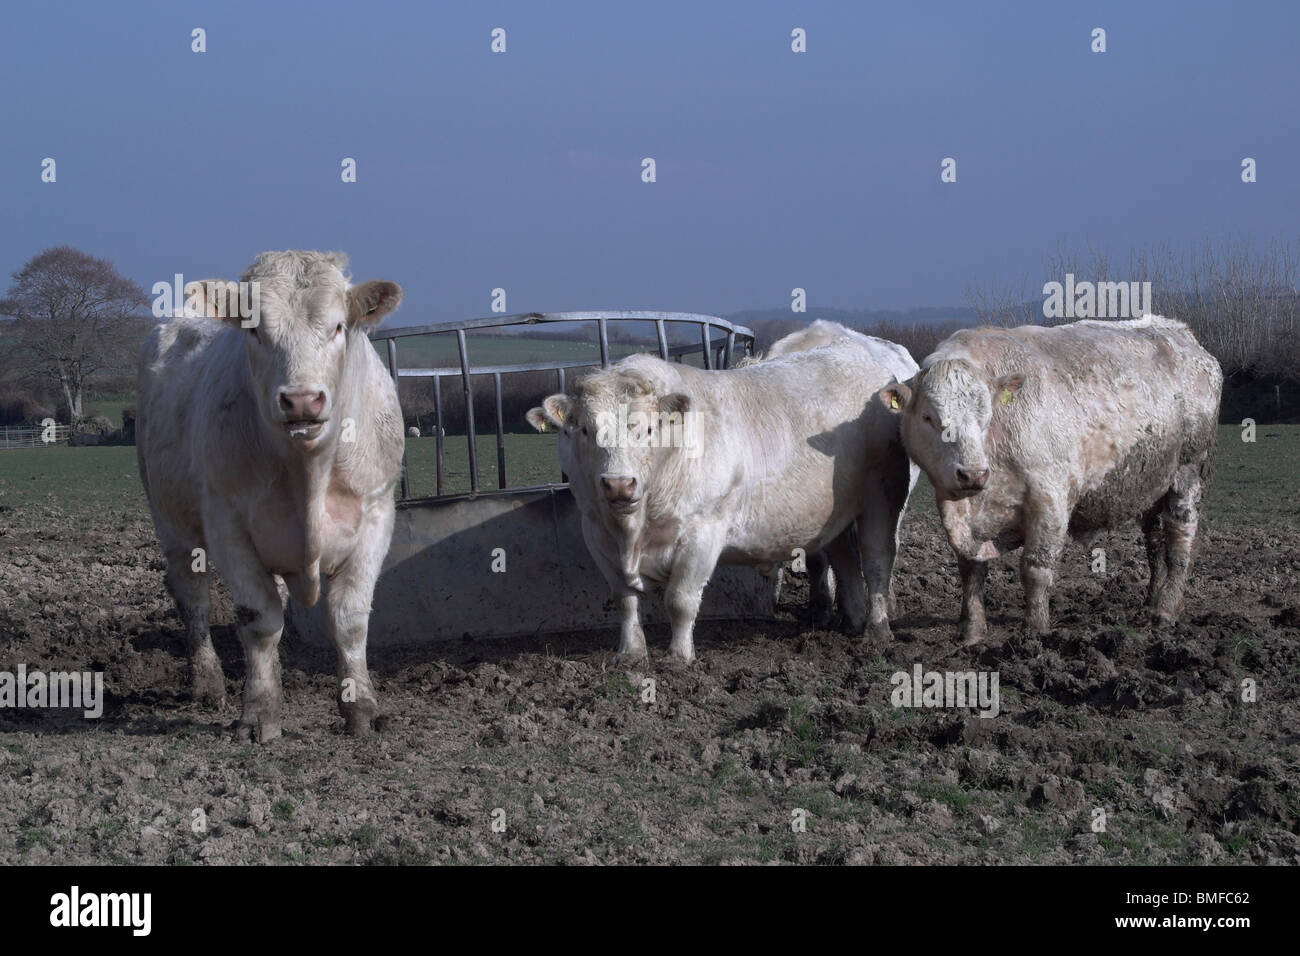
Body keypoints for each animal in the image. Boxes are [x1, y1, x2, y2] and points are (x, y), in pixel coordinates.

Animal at [137, 250, 405, 740]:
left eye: (338, 326)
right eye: (255, 330)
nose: (301, 401)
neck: (308, 471)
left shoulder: (376, 514)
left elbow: (350, 619)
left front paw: (362, 708)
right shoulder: (228, 525)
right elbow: (259, 621)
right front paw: (259, 712)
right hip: (172, 522)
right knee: (192, 596)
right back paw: (207, 683)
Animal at [526, 343, 914, 661]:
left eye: (648, 429)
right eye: (585, 430)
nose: (619, 484)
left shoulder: (702, 532)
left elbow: (680, 600)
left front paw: (679, 657)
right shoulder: (596, 532)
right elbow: (625, 601)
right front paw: (630, 654)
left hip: (882, 497)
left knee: (876, 560)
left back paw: (877, 631)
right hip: (835, 514)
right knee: (845, 560)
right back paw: (853, 621)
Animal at [878, 315, 1222, 643]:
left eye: (986, 415)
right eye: (928, 417)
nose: (973, 473)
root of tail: (1177, 330)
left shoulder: (1050, 500)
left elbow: (1036, 569)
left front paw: (1035, 631)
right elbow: (970, 570)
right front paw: (972, 632)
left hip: (1188, 473)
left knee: (1179, 542)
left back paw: (1166, 611)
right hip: (1150, 484)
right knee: (1154, 542)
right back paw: (1151, 602)